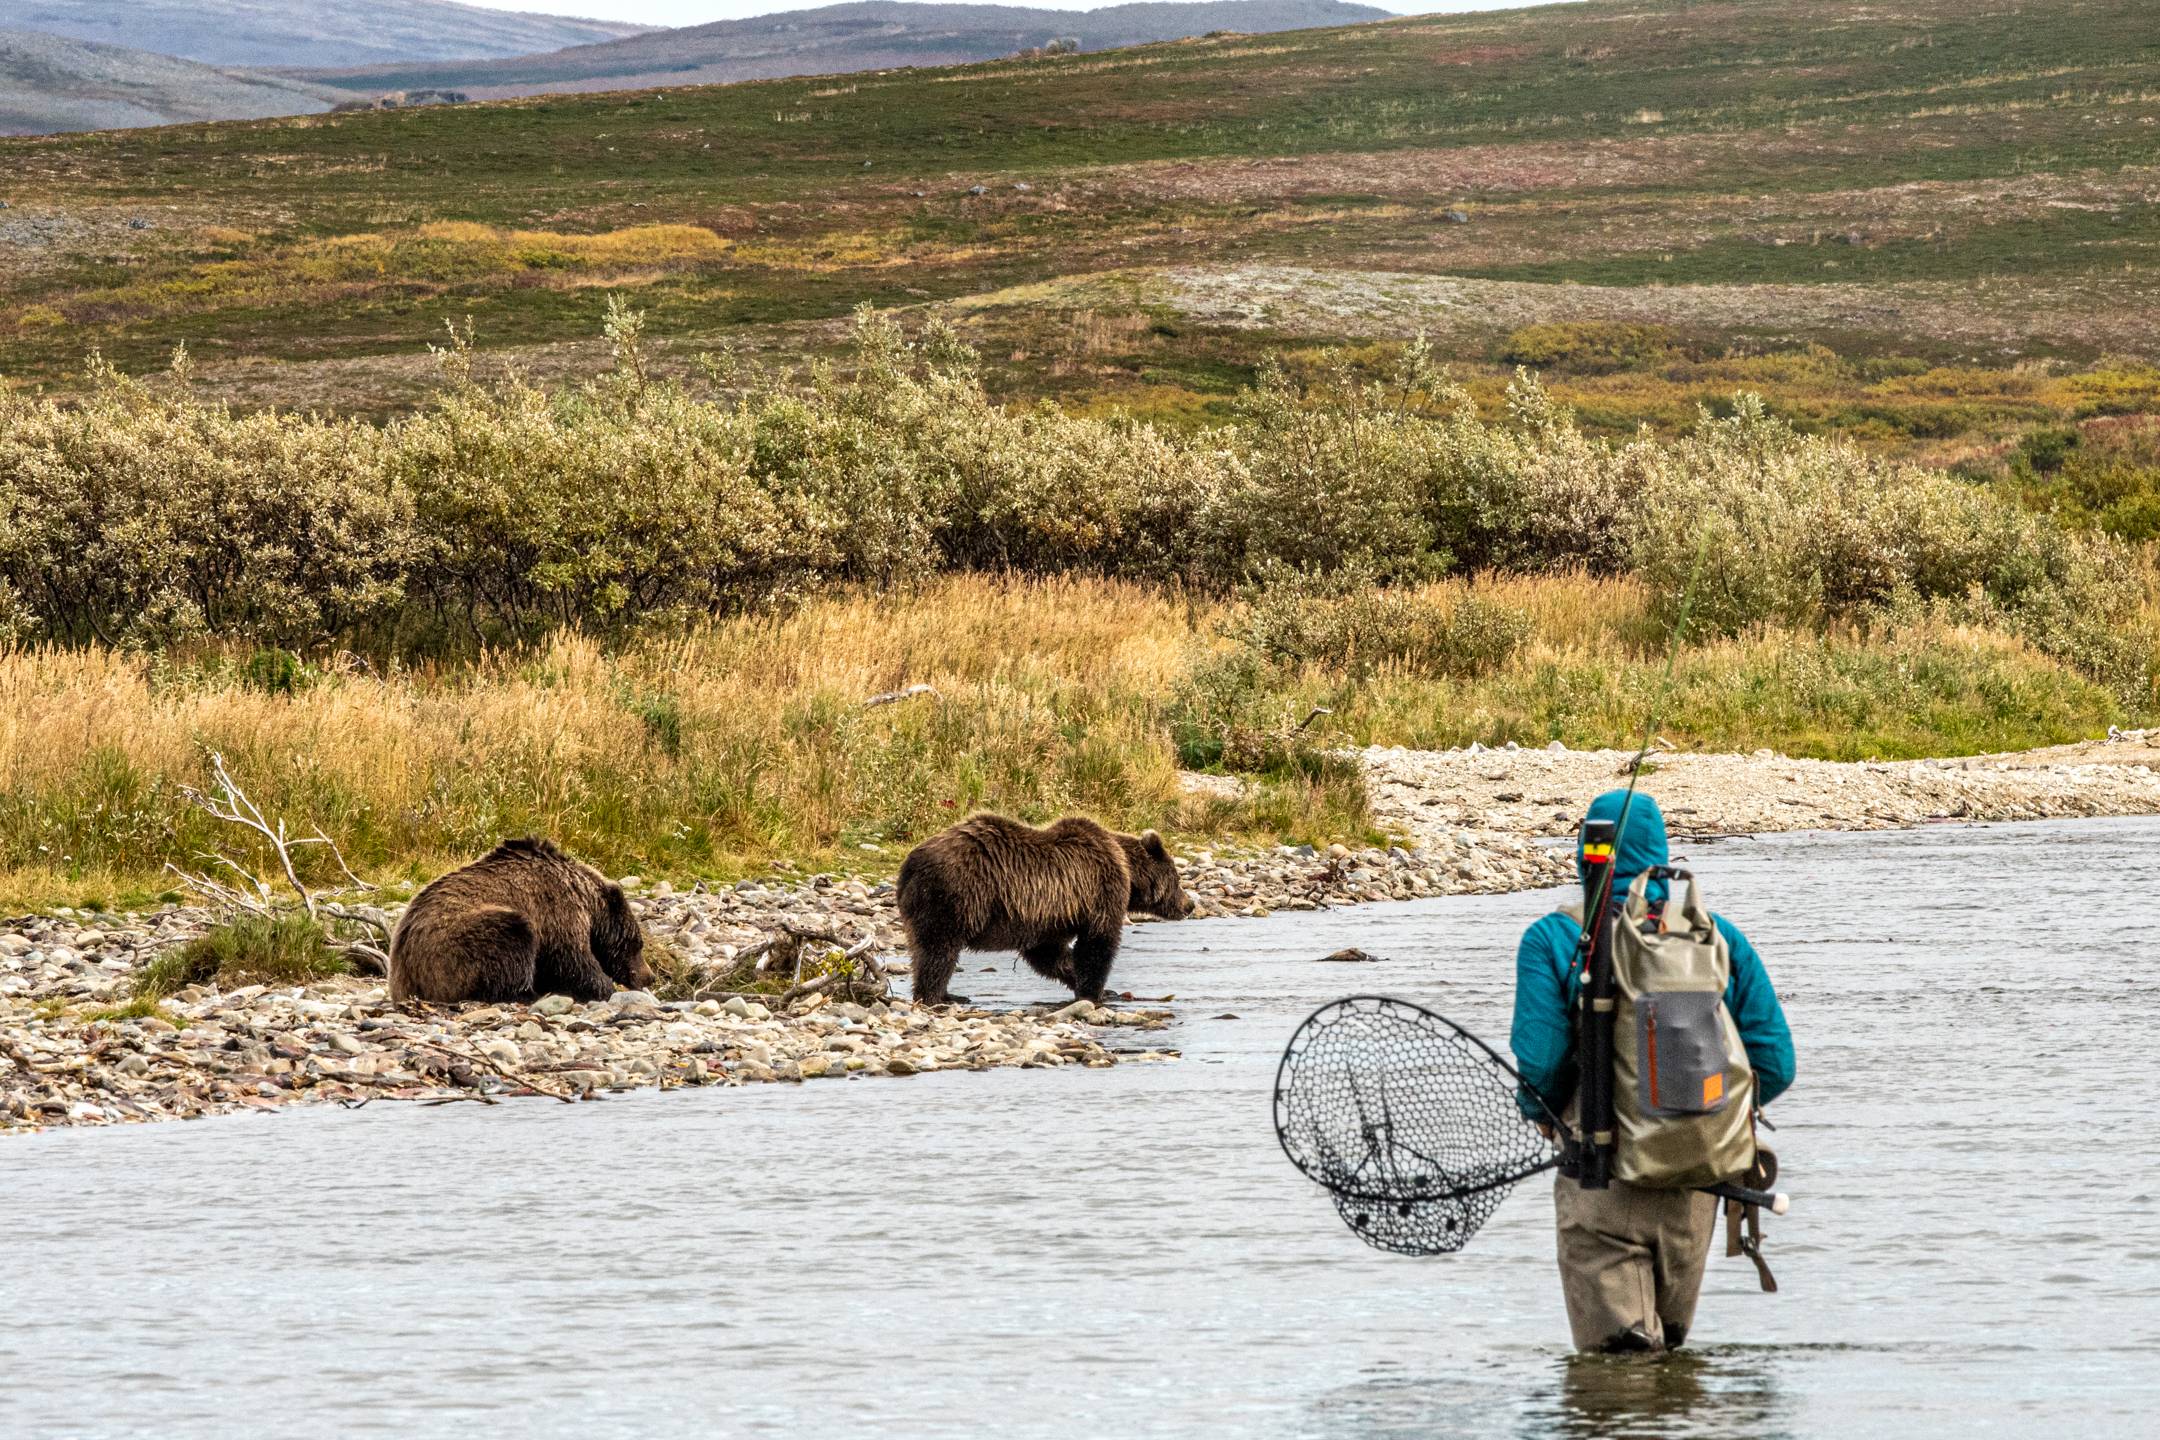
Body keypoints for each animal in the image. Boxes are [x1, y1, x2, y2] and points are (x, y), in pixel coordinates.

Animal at [387, 837, 653, 1005]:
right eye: (637, 944)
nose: (649, 977)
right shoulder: (558, 912)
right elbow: (573, 961)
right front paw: (604, 987)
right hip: (460, 945)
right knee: (510, 940)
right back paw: (528, 994)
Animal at [896, 813, 1196, 1007]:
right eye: (1177, 878)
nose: (1190, 905)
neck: (1128, 872)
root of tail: (909, 865)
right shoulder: (1101, 890)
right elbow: (1098, 943)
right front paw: (1095, 991)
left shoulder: (1044, 917)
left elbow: (1049, 954)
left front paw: (1084, 982)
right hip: (954, 896)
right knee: (939, 950)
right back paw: (935, 996)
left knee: (924, 949)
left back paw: (949, 995)